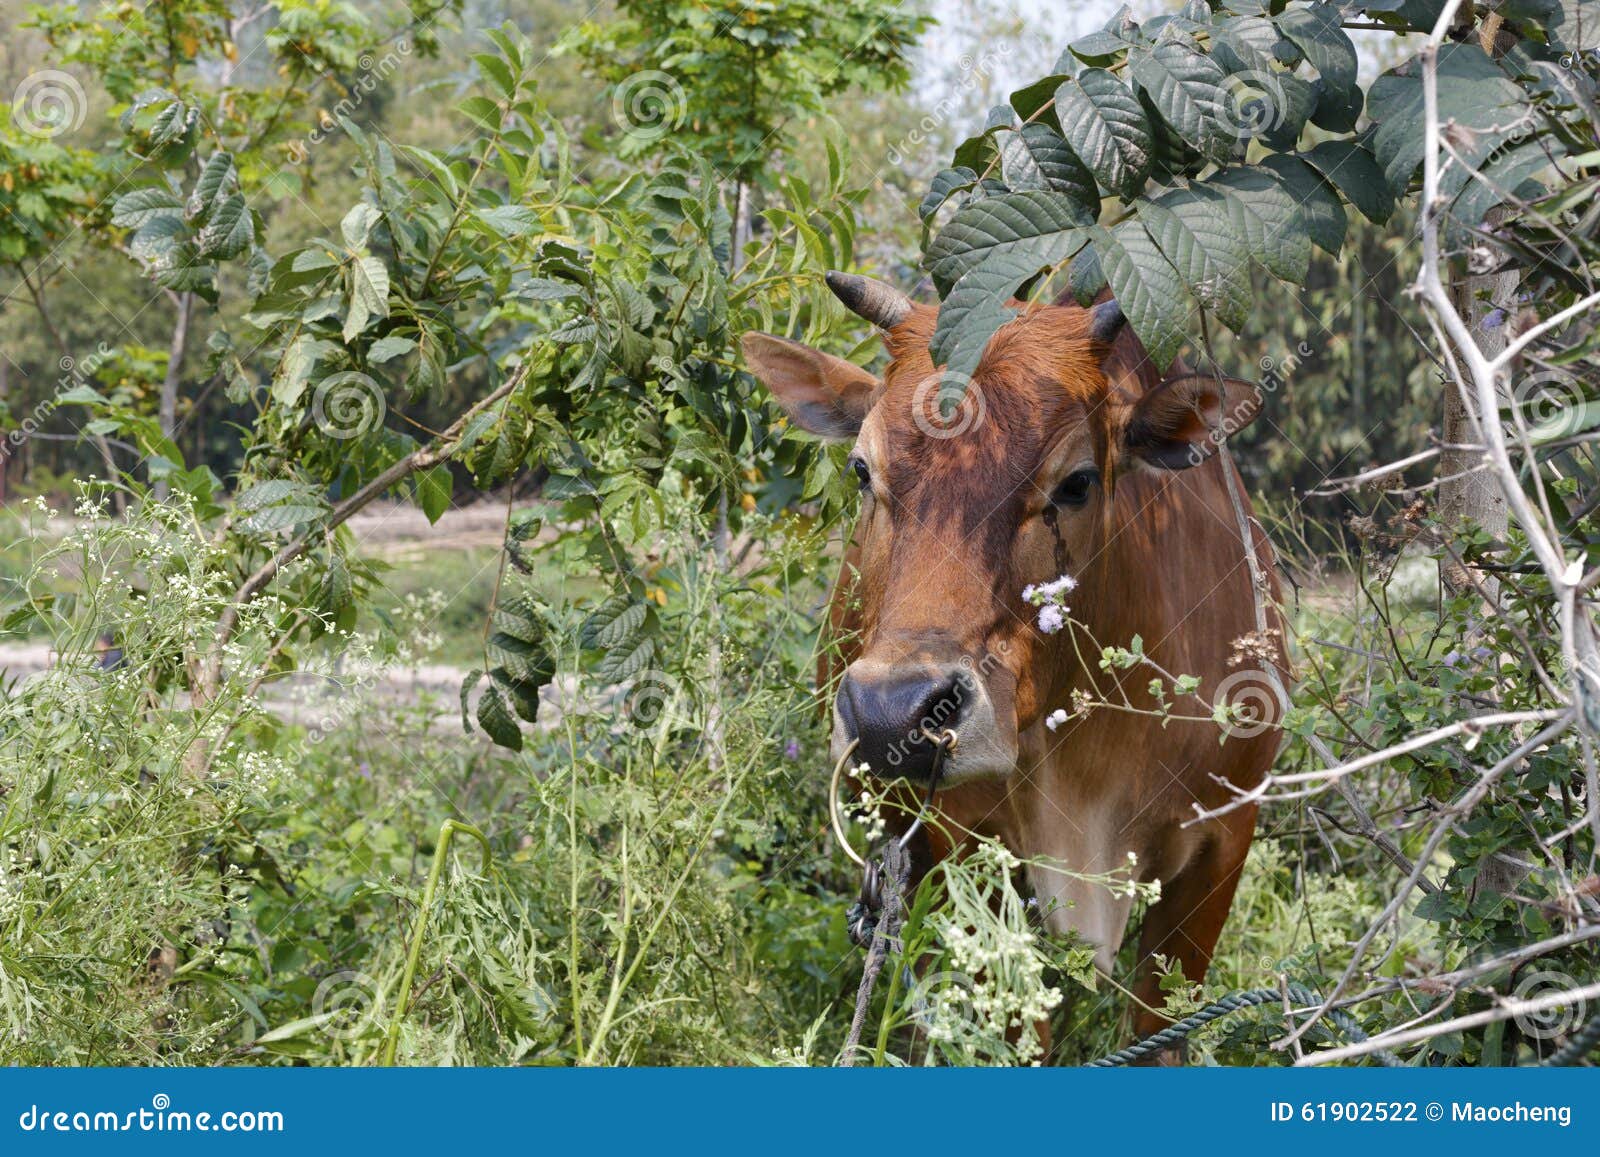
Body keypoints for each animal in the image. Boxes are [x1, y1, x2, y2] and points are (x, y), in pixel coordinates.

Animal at [742, 271, 1288, 1061]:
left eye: (1078, 481)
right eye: (862, 469)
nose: (891, 715)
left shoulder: (1224, 842)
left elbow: (1161, 1028)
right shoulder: (970, 845)